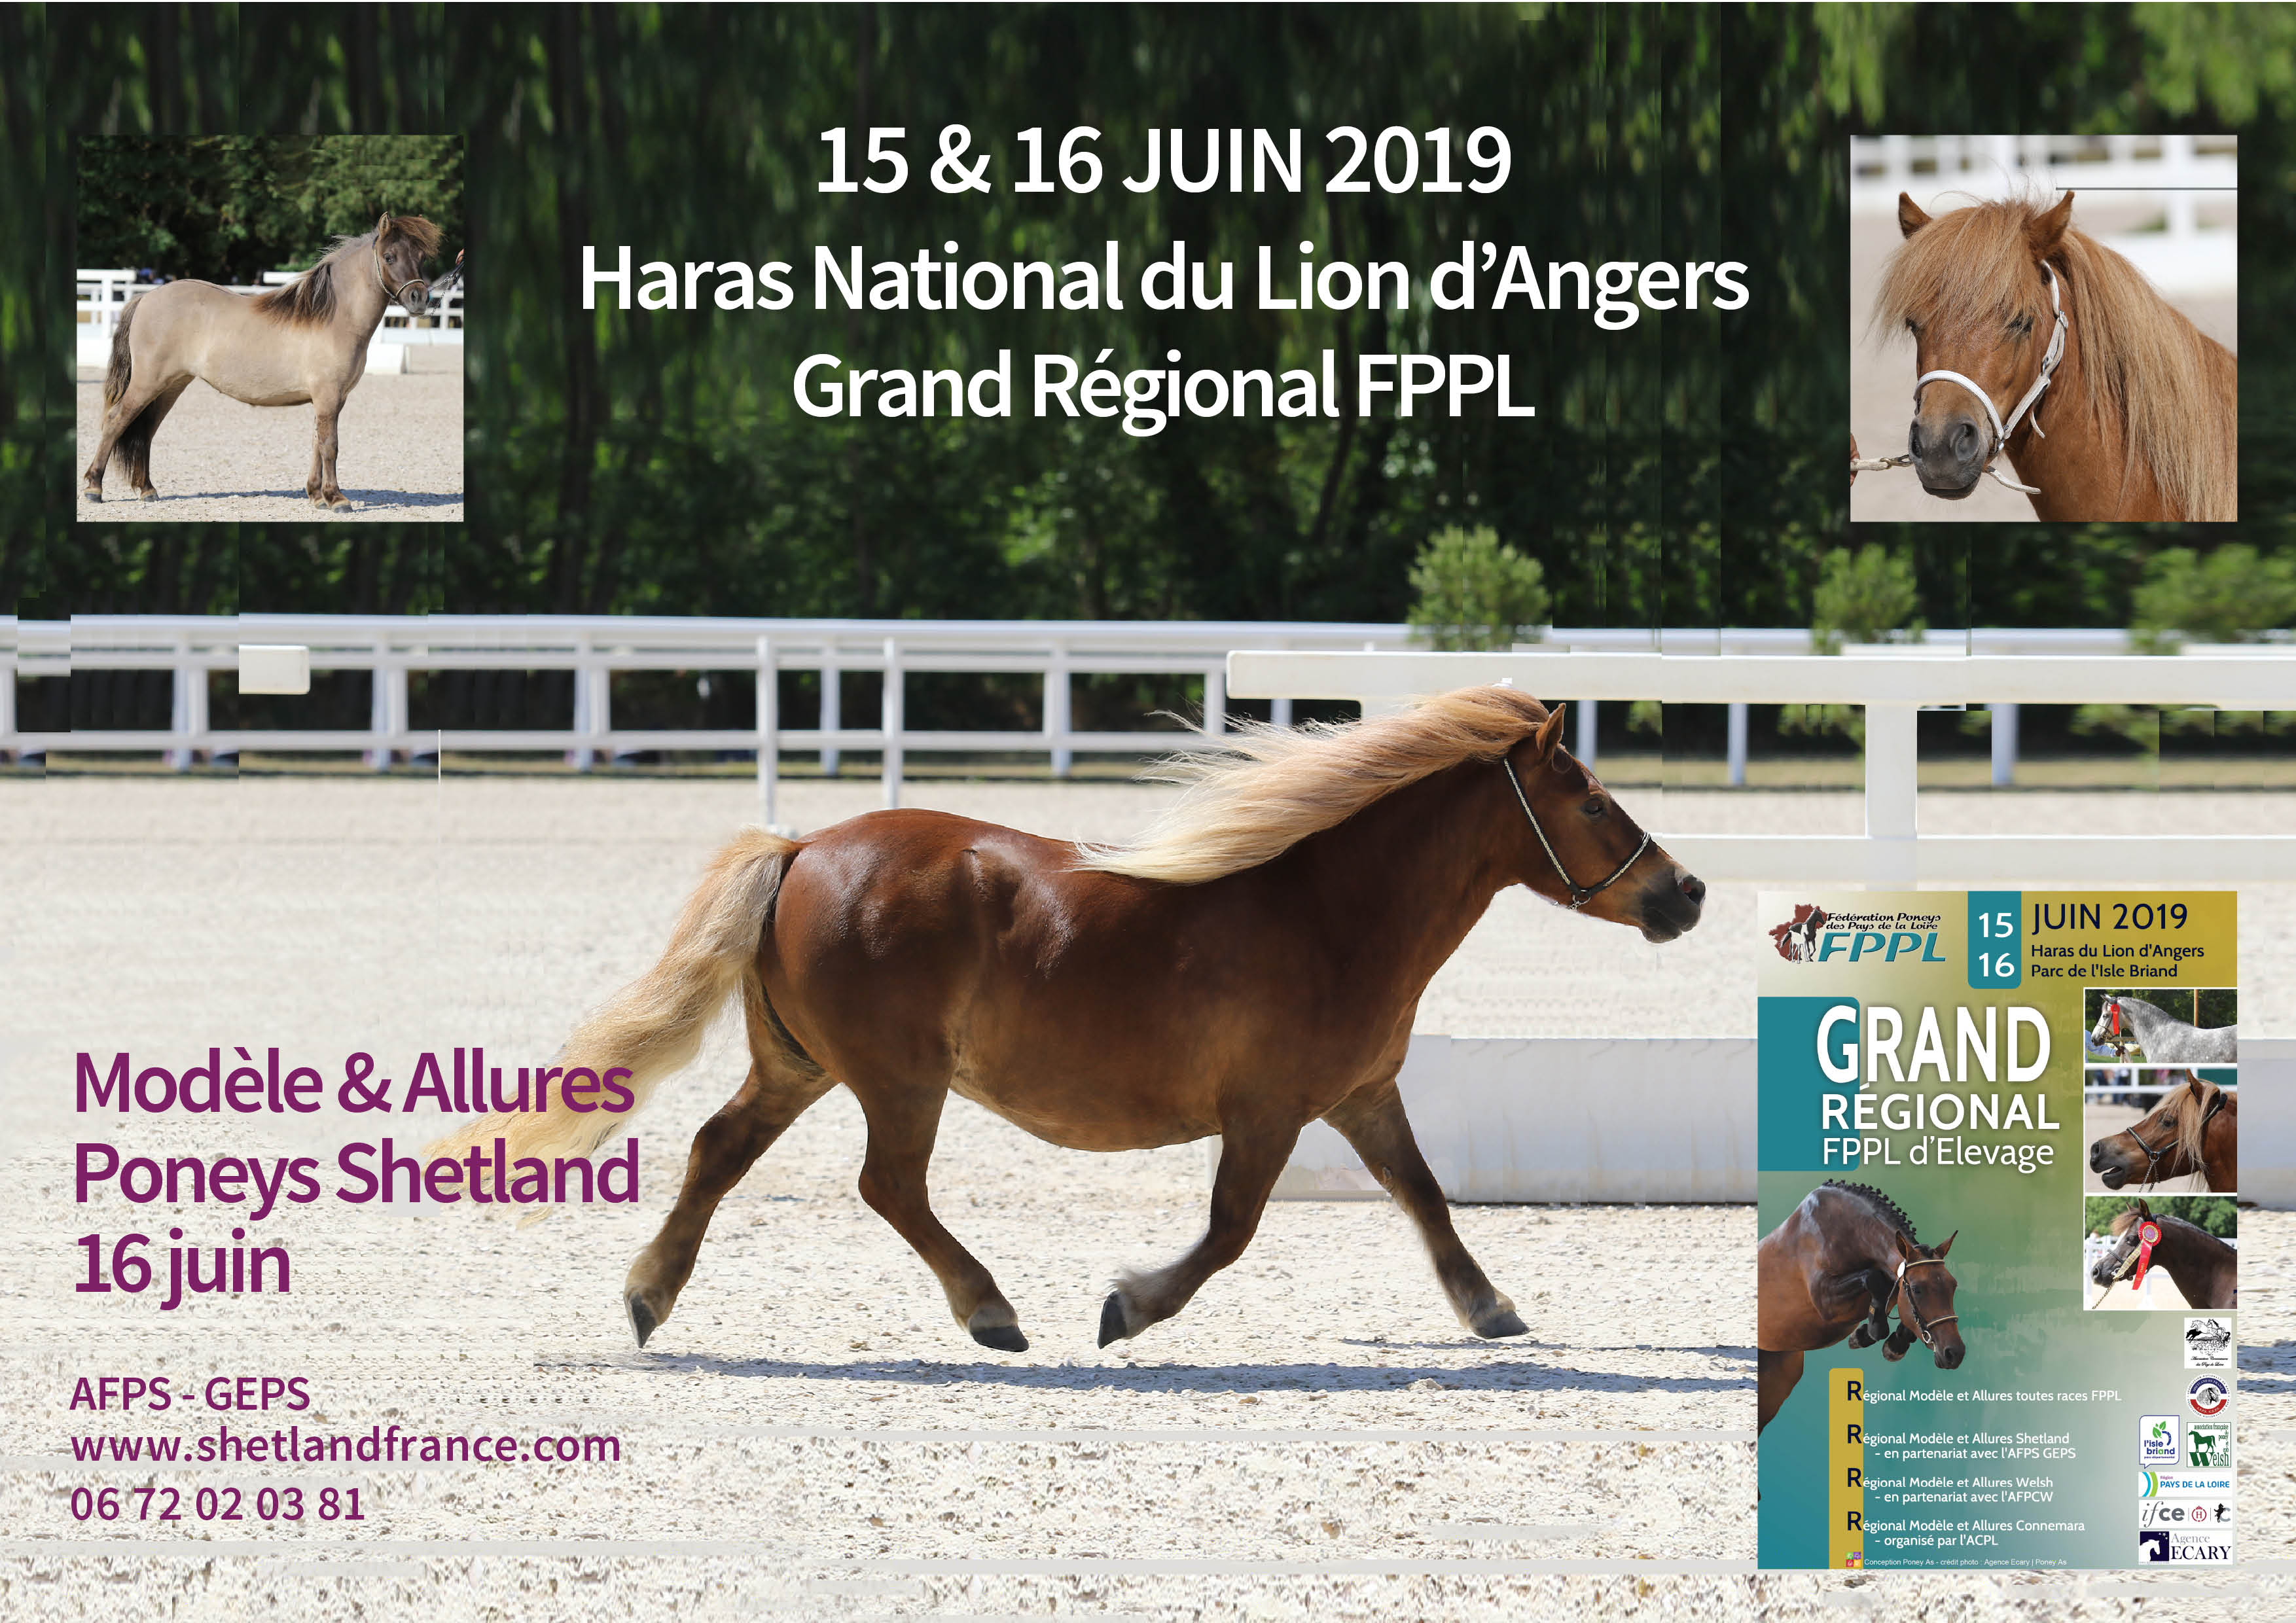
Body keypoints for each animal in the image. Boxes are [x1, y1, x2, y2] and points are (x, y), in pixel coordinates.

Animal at [81, 213, 444, 511]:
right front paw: (337, 499)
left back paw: (147, 490)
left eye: (421, 257)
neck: (334, 318)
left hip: (171, 386)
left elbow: (317, 442)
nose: (419, 299)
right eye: (389, 256)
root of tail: (146, 297)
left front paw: (316, 496)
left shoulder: (331, 399)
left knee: (145, 431)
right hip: (148, 382)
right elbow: (330, 446)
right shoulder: (328, 396)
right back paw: (94, 488)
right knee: (116, 420)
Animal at [431, 687, 1706, 1352]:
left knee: (716, 1150)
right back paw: (990, 1310)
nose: (1685, 893)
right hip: (898, 1079)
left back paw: (649, 1297)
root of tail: (801, 847)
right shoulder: (1267, 1114)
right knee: (888, 1187)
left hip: (800, 1068)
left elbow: (1427, 1197)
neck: (1328, 911)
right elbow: (1230, 1232)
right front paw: (1126, 1308)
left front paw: (1491, 1307)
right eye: (1596, 799)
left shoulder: (1360, 1098)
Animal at [1757, 1181, 1963, 1433]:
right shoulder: (1825, 1299)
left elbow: (1898, 1305)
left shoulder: (1892, 1289)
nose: (1955, 1353)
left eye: (1953, 1285)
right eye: (1917, 1289)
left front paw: (1887, 1342)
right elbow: (1873, 1279)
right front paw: (1874, 1332)